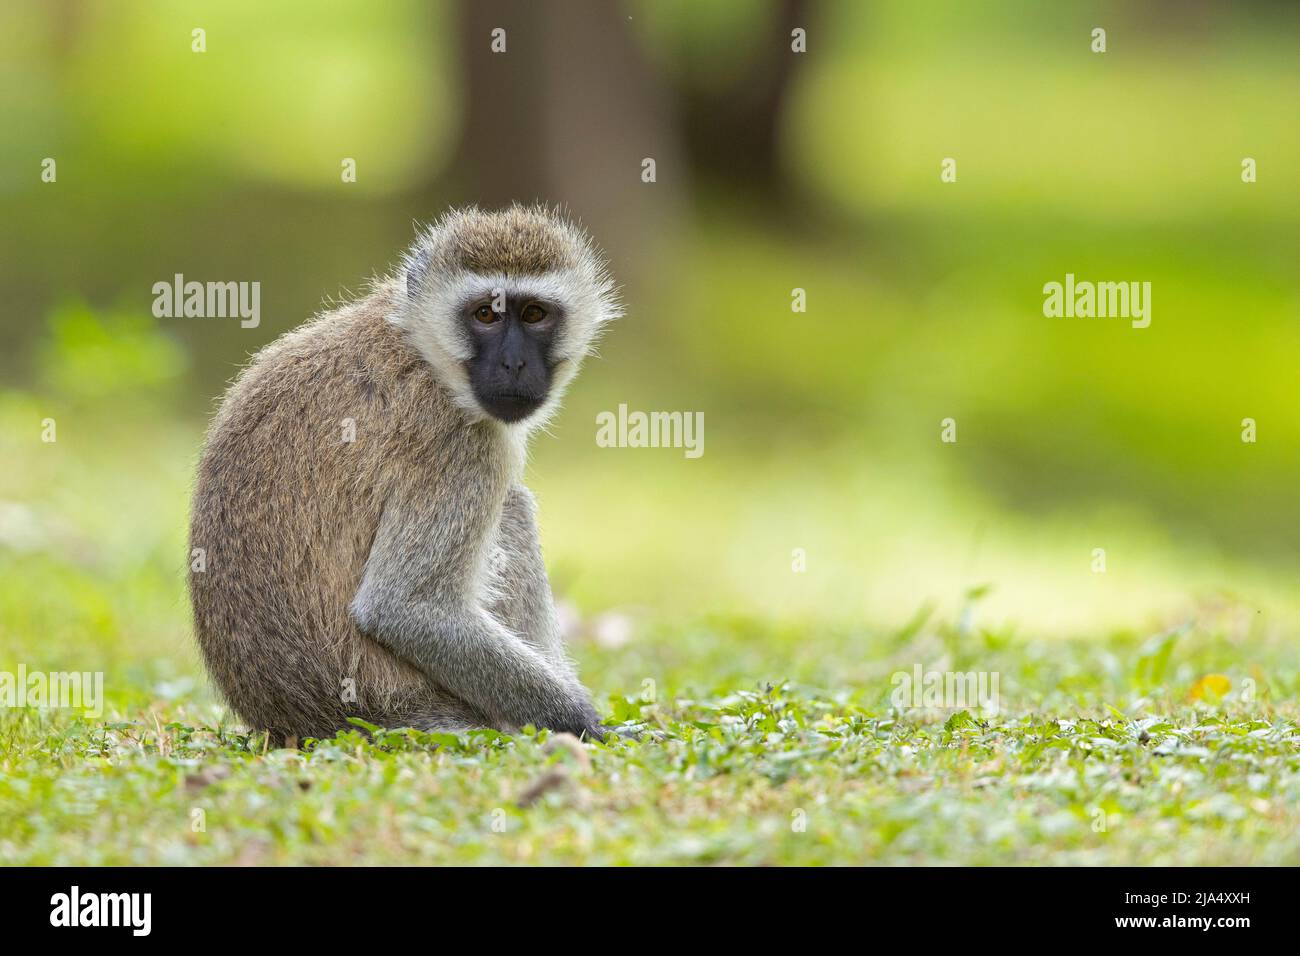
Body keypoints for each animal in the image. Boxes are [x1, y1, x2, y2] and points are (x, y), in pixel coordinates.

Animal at [188, 204, 622, 744]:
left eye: (534, 314)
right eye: (485, 314)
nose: (514, 363)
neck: (423, 350)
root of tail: (295, 724)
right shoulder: (460, 445)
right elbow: (404, 610)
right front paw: (586, 724)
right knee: (512, 508)